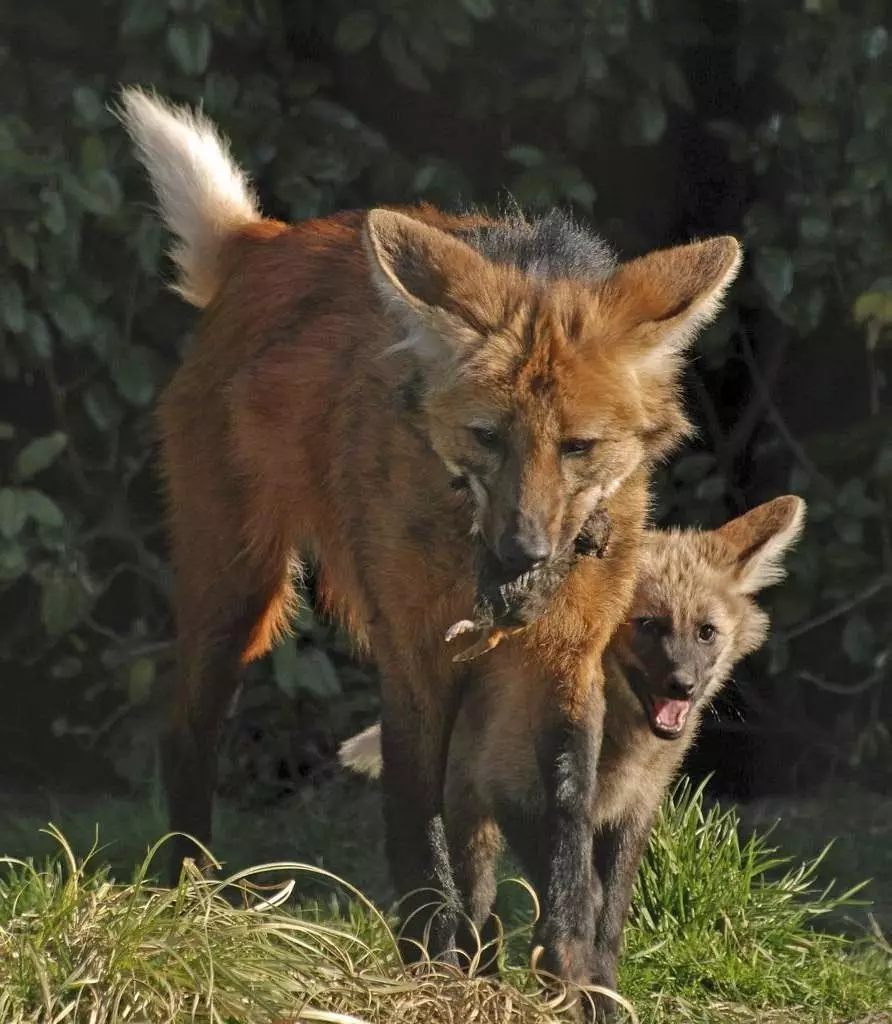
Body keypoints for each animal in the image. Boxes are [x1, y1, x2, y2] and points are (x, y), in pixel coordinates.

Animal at [120, 86, 745, 983]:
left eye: (578, 447)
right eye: (487, 437)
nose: (524, 552)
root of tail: (264, 242)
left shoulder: (566, 657)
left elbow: (565, 828)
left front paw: (573, 975)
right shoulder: (414, 648)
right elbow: (421, 827)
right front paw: (433, 967)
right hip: (239, 589)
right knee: (186, 735)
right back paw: (191, 902)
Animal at [342, 493, 811, 1015]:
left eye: (705, 632)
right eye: (648, 626)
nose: (683, 686)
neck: (621, 756)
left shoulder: (634, 809)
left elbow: (610, 922)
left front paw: (604, 1000)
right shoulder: (516, 791)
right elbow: (583, 896)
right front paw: (567, 980)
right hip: (467, 815)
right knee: (475, 911)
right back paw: (478, 987)